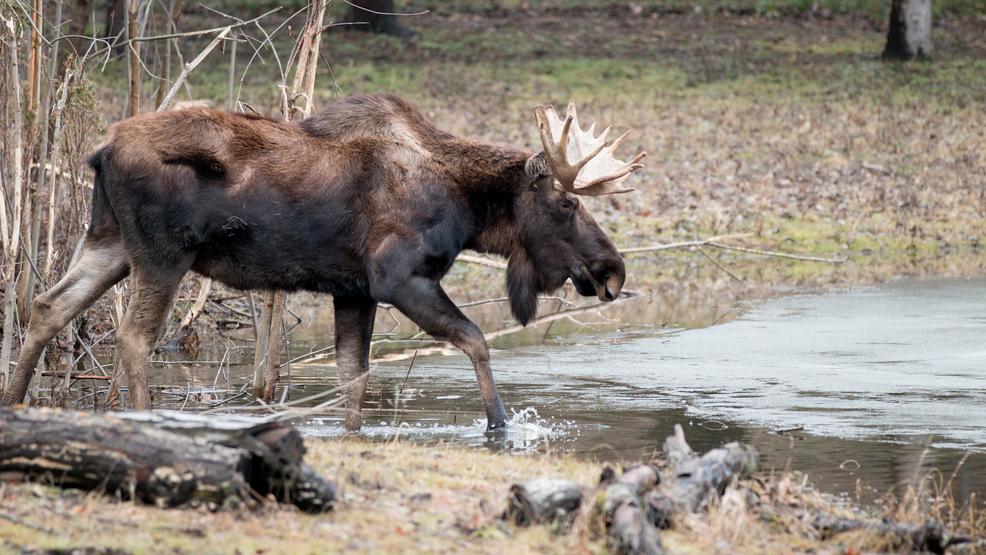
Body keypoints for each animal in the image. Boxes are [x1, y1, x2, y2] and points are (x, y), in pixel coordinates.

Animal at [0, 94, 645, 431]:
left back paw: (16, 401)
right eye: (567, 203)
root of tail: (100, 151)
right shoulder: (397, 276)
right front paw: (498, 425)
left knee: (48, 306)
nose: (613, 269)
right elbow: (476, 340)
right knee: (134, 337)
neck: (467, 207)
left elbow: (353, 377)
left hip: (109, 241)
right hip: (163, 252)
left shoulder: (352, 289)